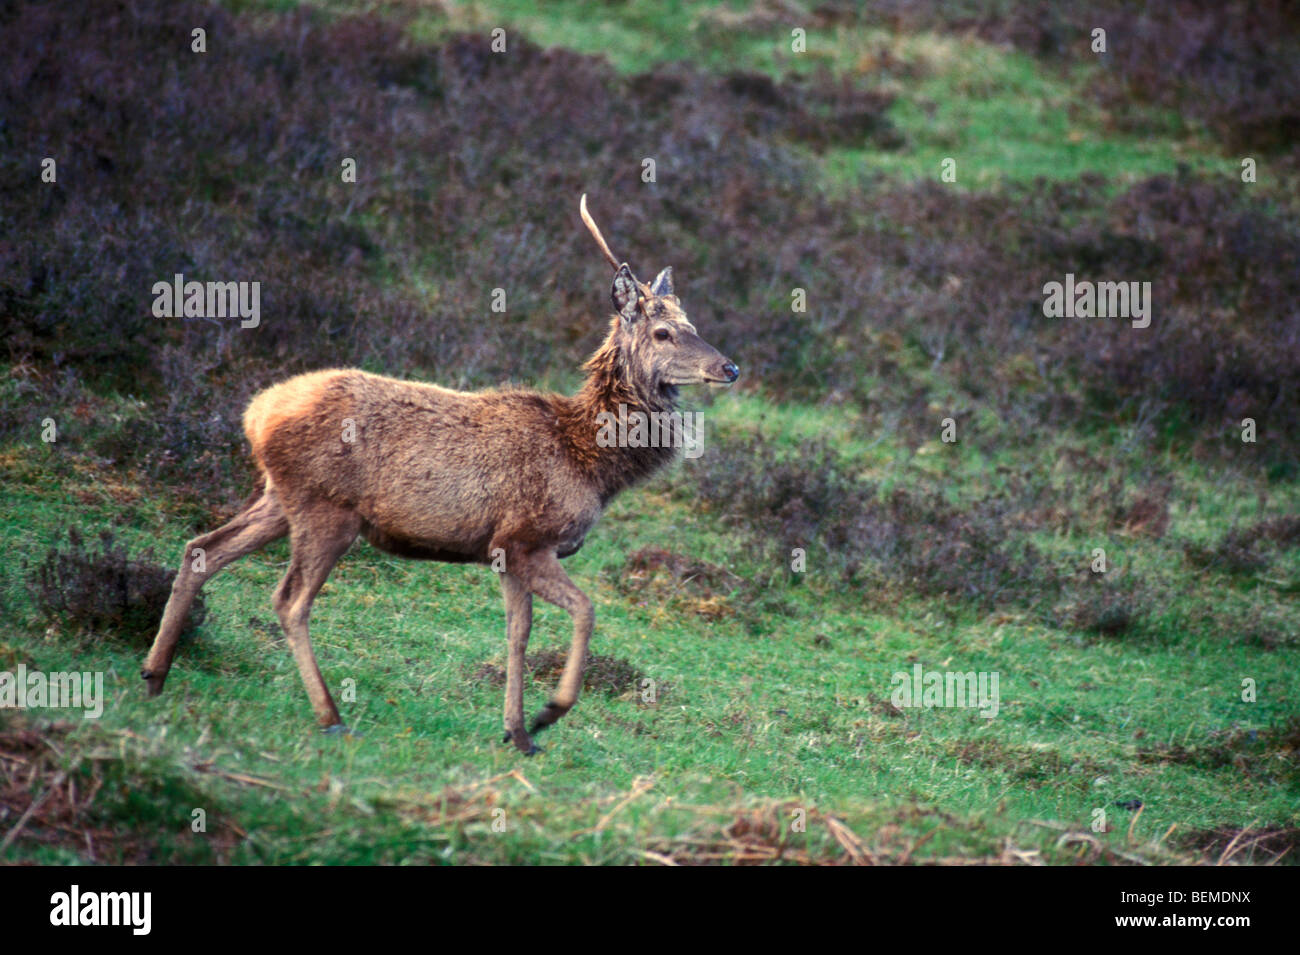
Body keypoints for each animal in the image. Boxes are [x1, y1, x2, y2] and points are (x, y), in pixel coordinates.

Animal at [141, 195, 739, 755]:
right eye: (662, 333)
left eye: (692, 325)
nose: (729, 366)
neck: (590, 464)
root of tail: (257, 412)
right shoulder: (527, 537)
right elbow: (587, 611)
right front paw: (549, 713)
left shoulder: (504, 551)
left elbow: (518, 635)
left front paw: (517, 732)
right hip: (326, 508)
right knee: (289, 601)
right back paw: (331, 716)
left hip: (279, 498)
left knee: (203, 548)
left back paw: (155, 673)